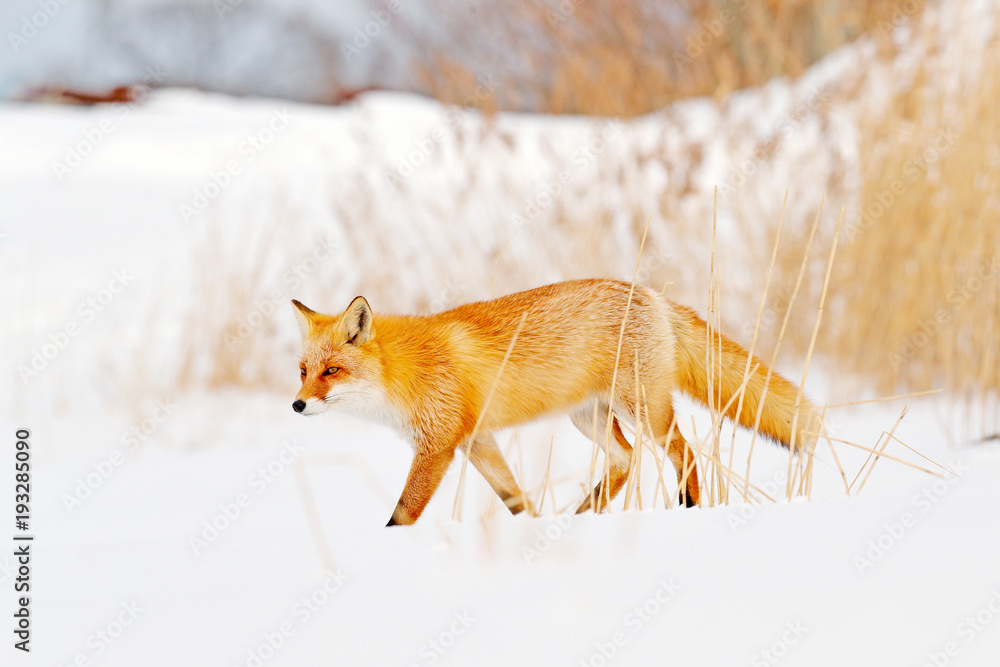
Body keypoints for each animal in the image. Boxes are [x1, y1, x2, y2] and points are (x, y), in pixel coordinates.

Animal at [291, 279, 818, 526]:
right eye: (302, 371)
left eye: (331, 371)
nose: (296, 406)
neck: (404, 373)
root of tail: (649, 293)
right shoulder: (477, 441)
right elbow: (516, 500)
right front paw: (536, 534)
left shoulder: (437, 447)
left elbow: (402, 513)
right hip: (589, 418)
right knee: (626, 460)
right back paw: (581, 518)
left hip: (643, 409)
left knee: (683, 453)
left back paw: (689, 507)